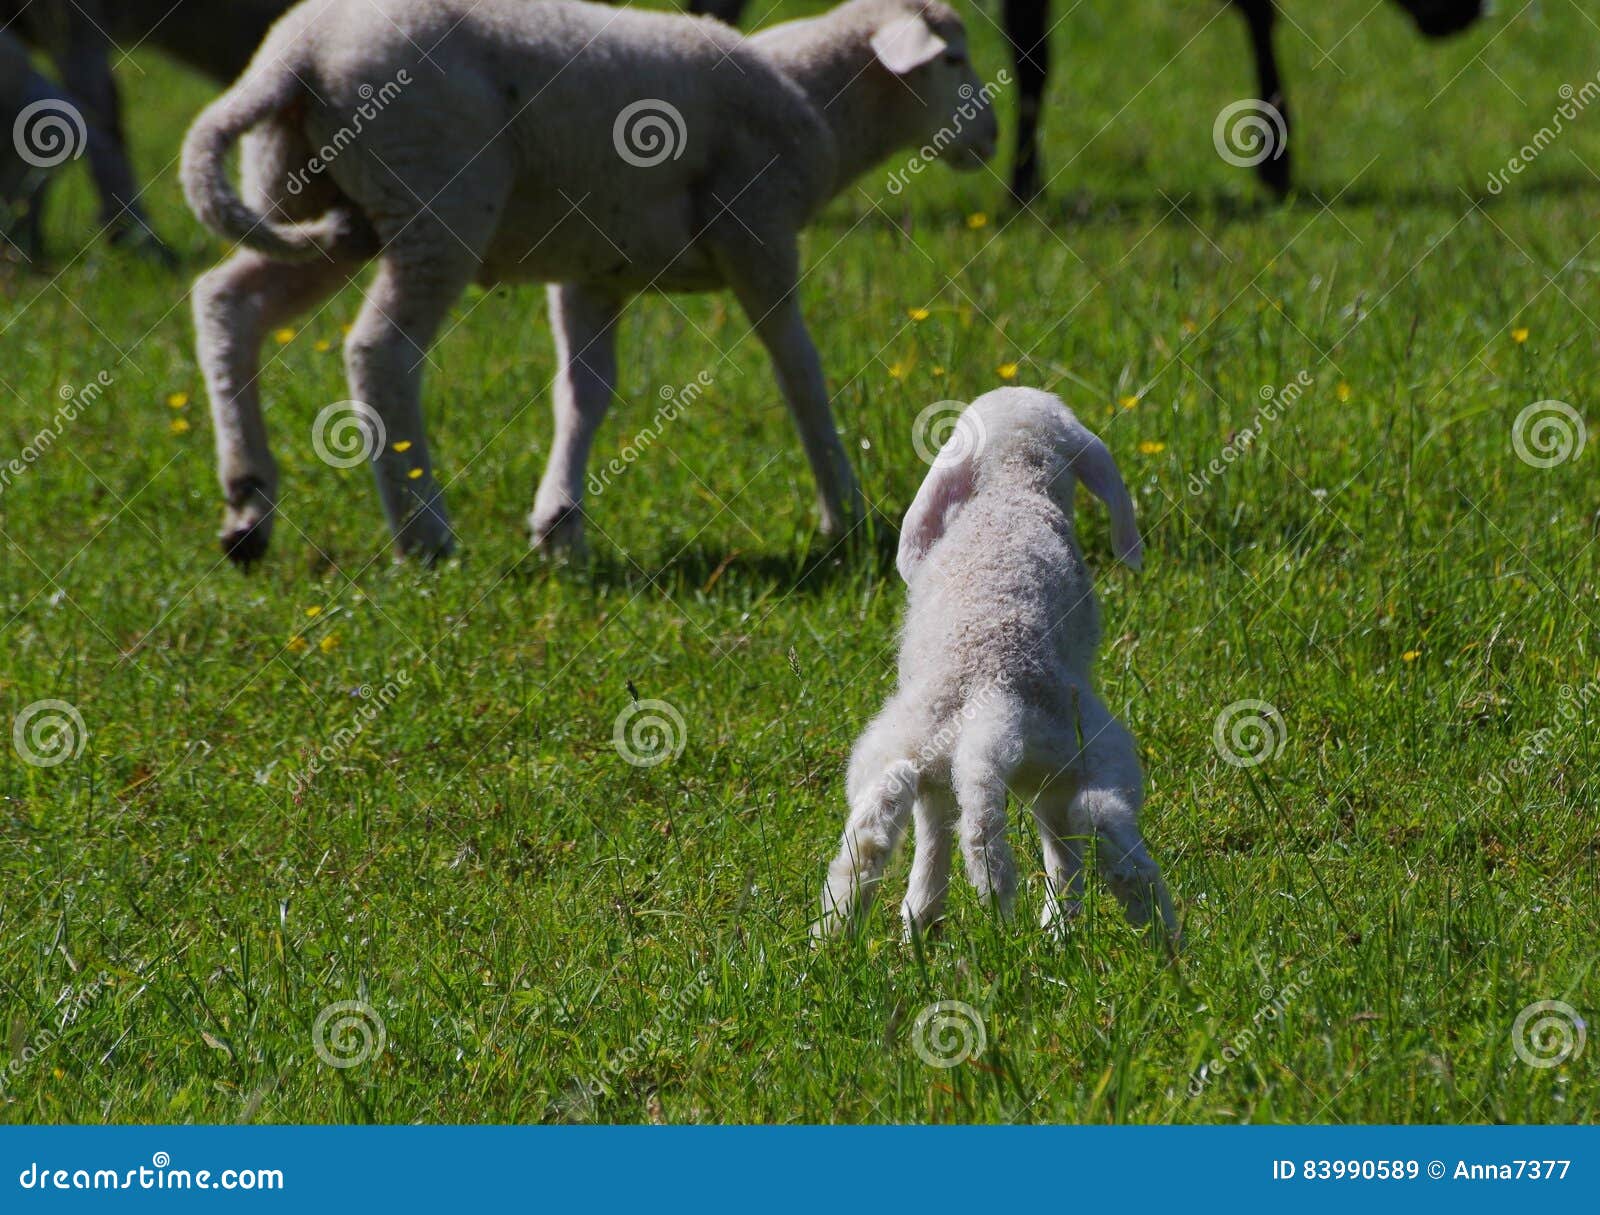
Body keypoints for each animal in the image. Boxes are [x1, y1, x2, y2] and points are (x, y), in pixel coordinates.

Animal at [180, 0, 998, 565]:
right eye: (954, 58)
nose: (990, 138)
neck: (816, 96)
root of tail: (296, 51)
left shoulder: (593, 271)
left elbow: (585, 391)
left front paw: (560, 526)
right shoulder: (757, 231)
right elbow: (799, 368)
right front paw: (843, 514)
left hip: (315, 199)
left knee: (229, 301)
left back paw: (248, 504)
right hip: (436, 195)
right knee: (379, 353)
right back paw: (424, 533)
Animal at [815, 387, 1177, 944]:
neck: (1010, 486)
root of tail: (992, 700)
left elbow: (934, 828)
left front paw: (921, 915)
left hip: (916, 749)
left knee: (882, 827)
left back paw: (853, 933)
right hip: (1087, 749)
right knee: (1090, 826)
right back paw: (1151, 939)